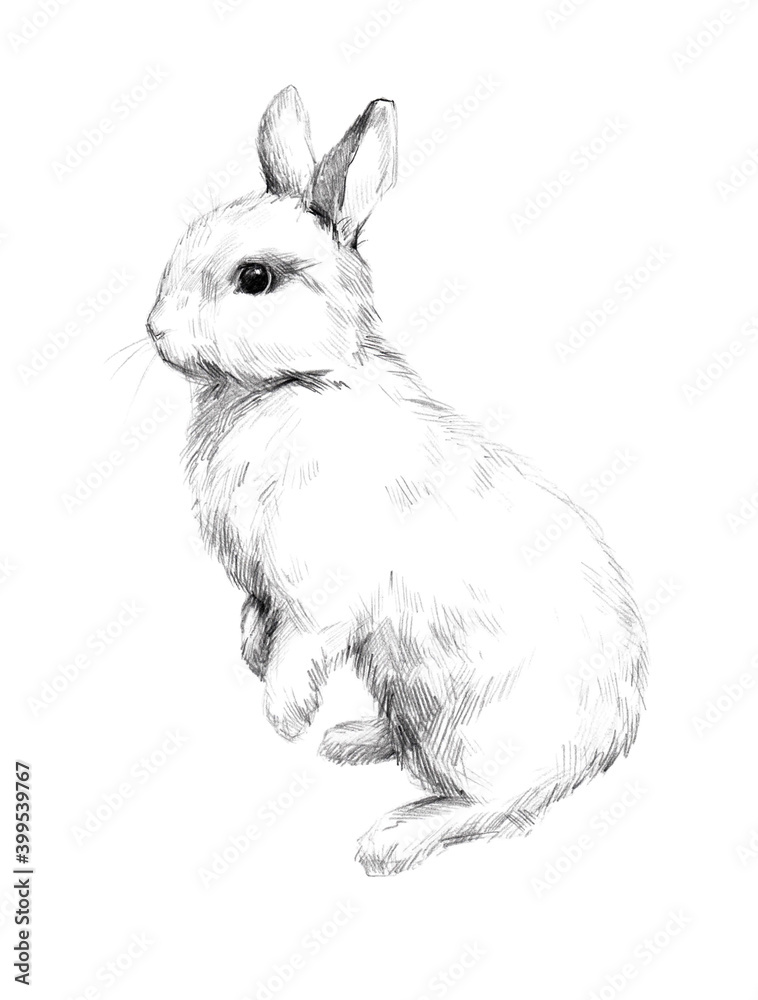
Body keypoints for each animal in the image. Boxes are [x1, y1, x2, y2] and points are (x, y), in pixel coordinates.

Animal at [147, 85, 647, 876]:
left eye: (255, 278)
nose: (156, 329)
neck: (294, 383)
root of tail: (602, 746)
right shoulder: (263, 585)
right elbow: (256, 622)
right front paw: (254, 663)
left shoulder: (318, 595)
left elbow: (298, 647)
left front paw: (283, 715)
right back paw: (353, 740)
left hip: (470, 726)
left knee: (498, 810)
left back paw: (390, 839)